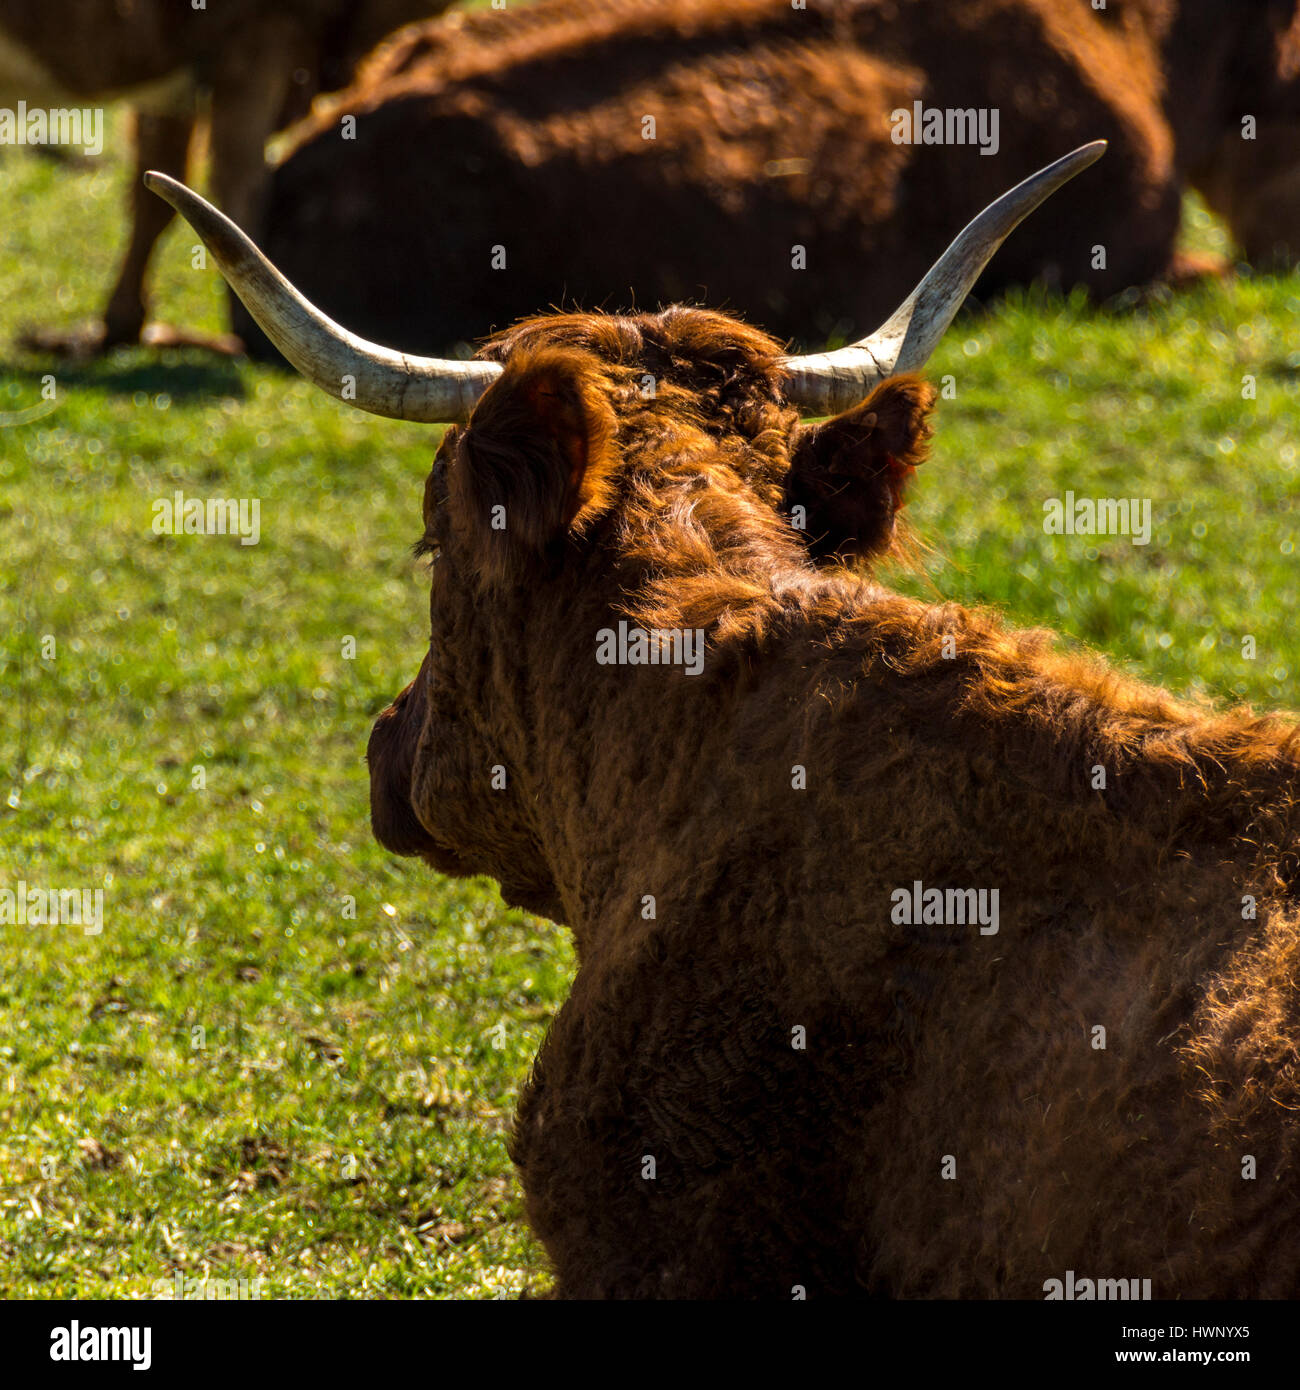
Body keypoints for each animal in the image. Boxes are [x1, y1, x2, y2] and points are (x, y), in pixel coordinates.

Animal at [0, 0, 450, 355]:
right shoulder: (259, 43)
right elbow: (240, 180)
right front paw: (248, 331)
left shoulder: (176, 90)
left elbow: (157, 196)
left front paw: (120, 325)